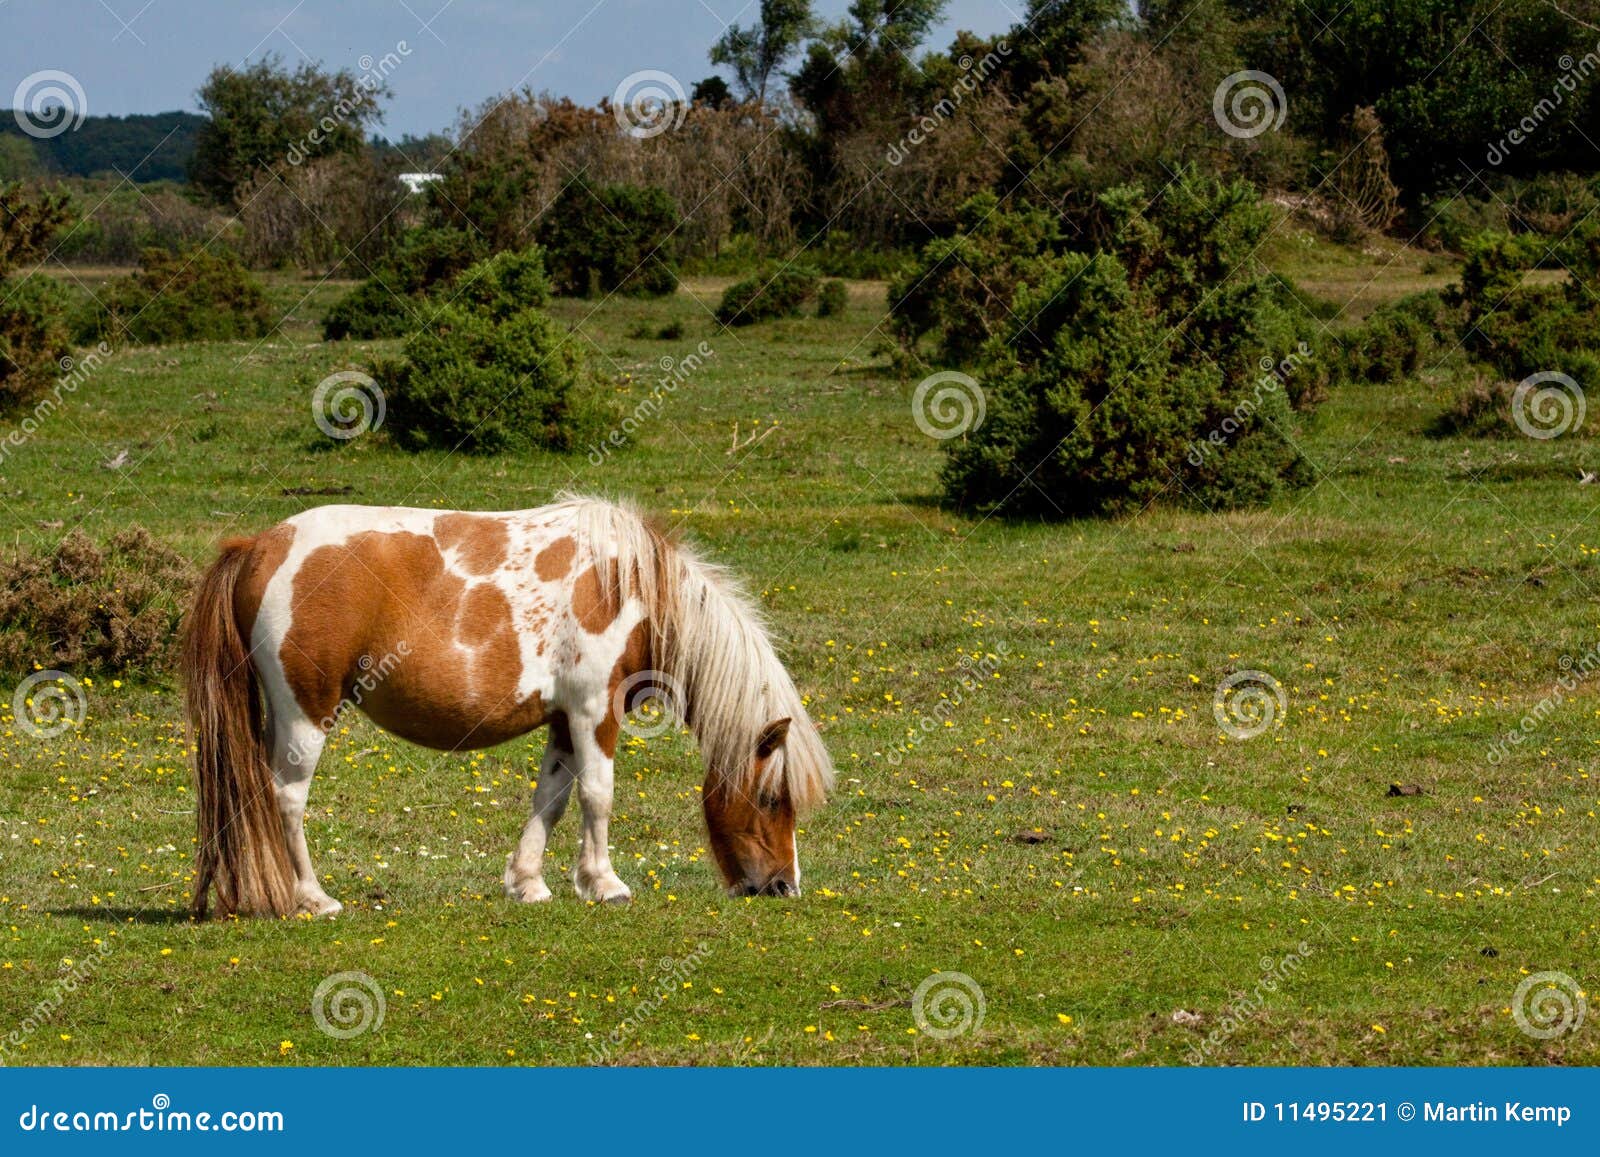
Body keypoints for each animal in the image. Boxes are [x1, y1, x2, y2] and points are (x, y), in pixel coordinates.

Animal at [181, 495, 833, 918]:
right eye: (772, 798)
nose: (783, 887)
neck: (629, 586)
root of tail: (259, 547)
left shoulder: (564, 720)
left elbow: (553, 798)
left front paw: (529, 884)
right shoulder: (596, 711)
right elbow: (598, 795)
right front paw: (606, 884)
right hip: (305, 714)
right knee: (285, 799)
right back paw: (311, 898)